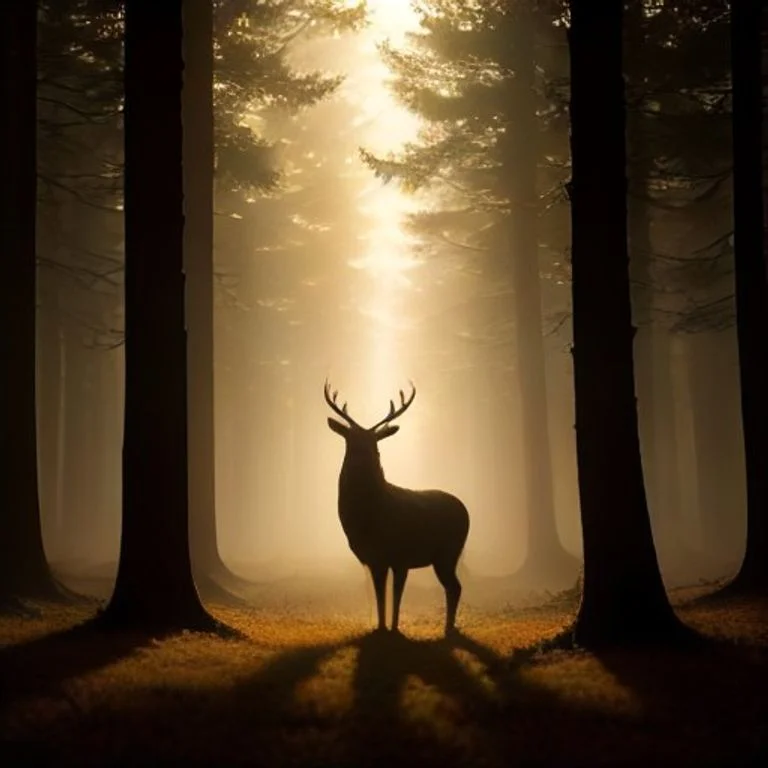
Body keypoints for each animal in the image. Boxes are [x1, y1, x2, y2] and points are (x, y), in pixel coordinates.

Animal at [324, 380, 470, 636]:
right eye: (350, 439)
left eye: (374, 441)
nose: (366, 455)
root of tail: (466, 511)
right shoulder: (374, 559)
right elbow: (380, 595)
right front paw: (381, 628)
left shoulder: (401, 554)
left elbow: (396, 596)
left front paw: (394, 629)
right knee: (454, 586)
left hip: (449, 552)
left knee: (455, 587)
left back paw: (449, 628)